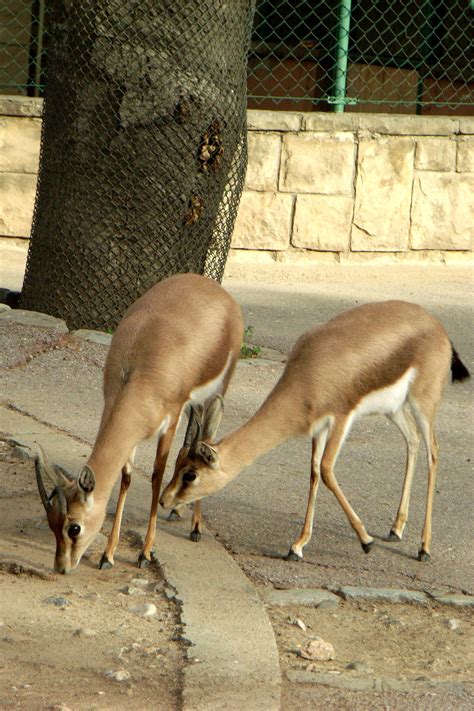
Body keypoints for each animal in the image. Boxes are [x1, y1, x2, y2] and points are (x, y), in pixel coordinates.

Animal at [35, 273, 244, 574]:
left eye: (74, 527)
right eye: (52, 522)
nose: (61, 567)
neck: (138, 372)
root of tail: (212, 286)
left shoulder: (170, 420)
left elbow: (157, 476)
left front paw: (144, 553)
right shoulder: (131, 433)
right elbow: (126, 478)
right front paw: (107, 555)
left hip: (218, 390)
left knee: (207, 437)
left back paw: (195, 529)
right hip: (196, 403)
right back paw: (177, 511)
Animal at [161, 300, 470, 563]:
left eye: (190, 475)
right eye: (177, 463)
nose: (164, 500)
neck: (309, 375)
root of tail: (438, 327)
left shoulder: (341, 419)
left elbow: (327, 470)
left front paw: (366, 541)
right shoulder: (318, 428)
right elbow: (314, 473)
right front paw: (297, 546)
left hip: (423, 404)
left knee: (433, 452)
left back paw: (424, 548)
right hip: (394, 410)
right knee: (413, 441)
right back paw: (396, 529)